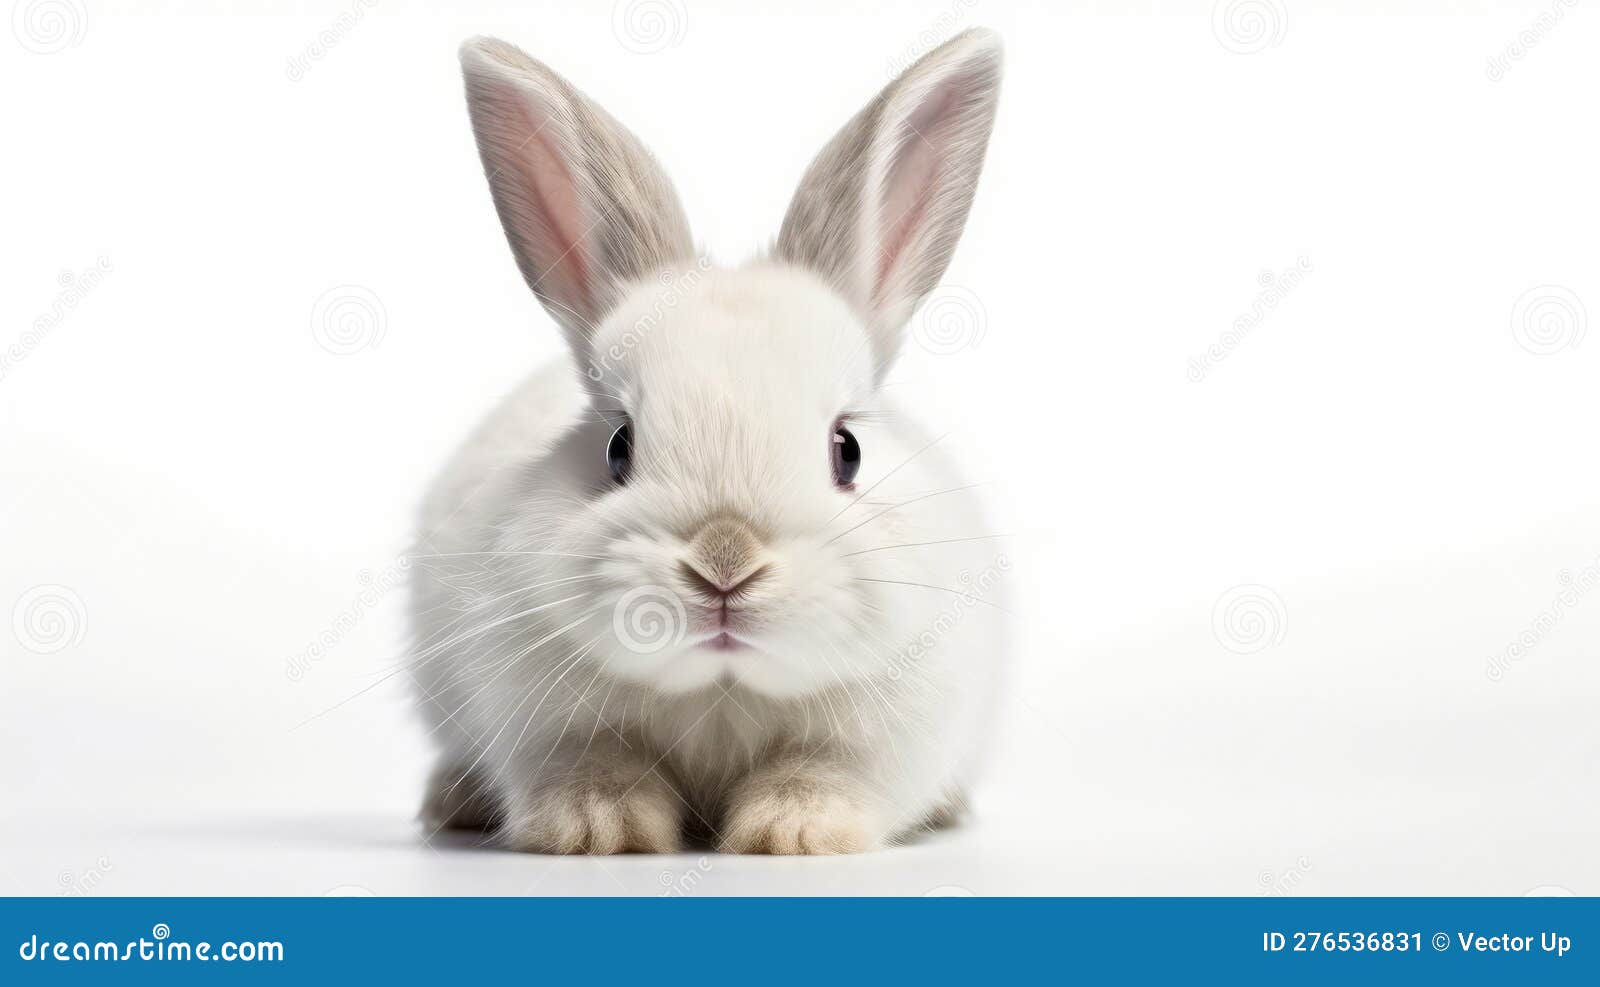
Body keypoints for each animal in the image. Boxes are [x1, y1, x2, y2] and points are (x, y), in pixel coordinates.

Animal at [410, 29, 1007, 855]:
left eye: (847, 449)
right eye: (618, 446)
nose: (725, 563)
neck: (722, 692)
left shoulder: (890, 738)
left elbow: (826, 770)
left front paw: (790, 830)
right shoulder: (541, 722)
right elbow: (593, 760)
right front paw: (599, 827)